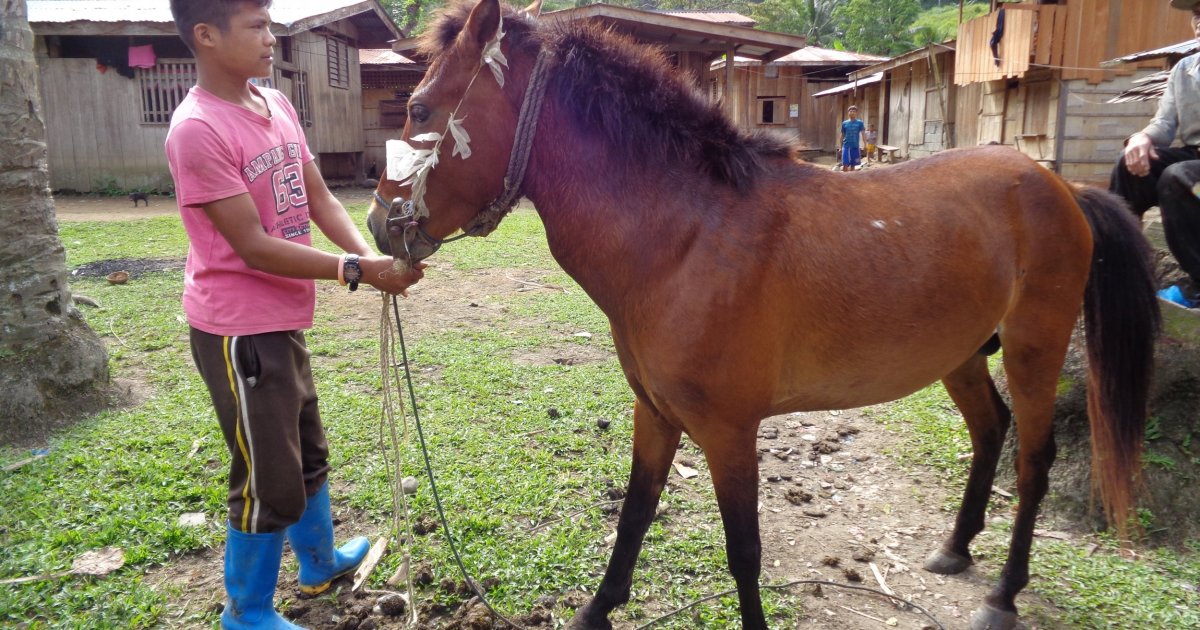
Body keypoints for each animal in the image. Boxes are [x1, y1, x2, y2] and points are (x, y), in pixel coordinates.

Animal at [367, 1, 1160, 628]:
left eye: (419, 110)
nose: (378, 224)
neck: (684, 238)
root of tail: (1061, 187)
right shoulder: (656, 412)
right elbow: (635, 513)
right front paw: (598, 609)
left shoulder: (728, 431)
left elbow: (743, 553)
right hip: (961, 354)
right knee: (990, 430)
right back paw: (957, 547)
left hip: (1033, 348)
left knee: (1032, 459)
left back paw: (1003, 592)